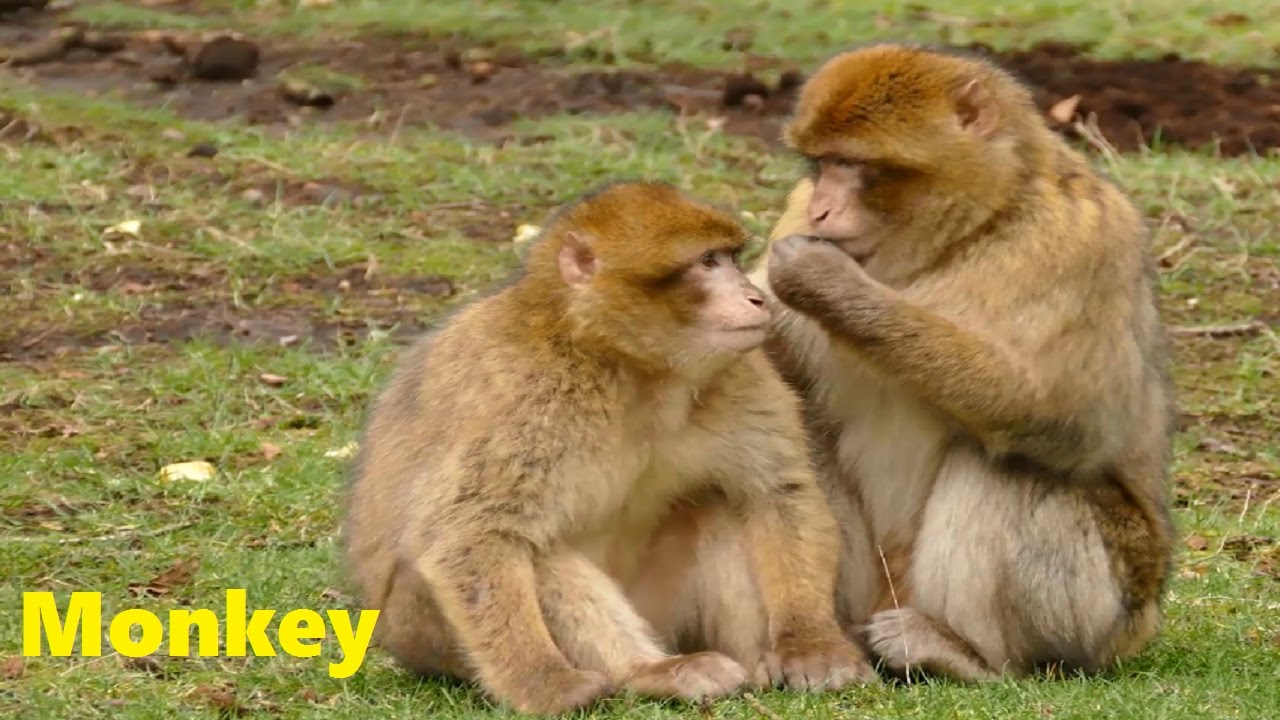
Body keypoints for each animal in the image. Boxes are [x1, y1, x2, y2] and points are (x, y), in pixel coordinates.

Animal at [344, 181, 874, 715]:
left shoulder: (739, 371)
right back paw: (652, 673)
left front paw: (810, 645)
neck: (623, 365)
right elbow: (473, 535)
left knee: (720, 506)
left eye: (729, 258)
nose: (756, 297)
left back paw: (755, 666)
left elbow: (775, 491)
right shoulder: (518, 392)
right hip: (426, 630)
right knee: (538, 551)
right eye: (707, 262)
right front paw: (543, 683)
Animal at [749, 45, 1175, 682]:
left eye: (854, 164)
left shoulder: (1084, 240)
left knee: (1008, 463)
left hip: (1106, 615)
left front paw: (831, 287)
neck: (971, 231)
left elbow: (1070, 421)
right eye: (821, 165)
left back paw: (967, 657)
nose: (822, 210)